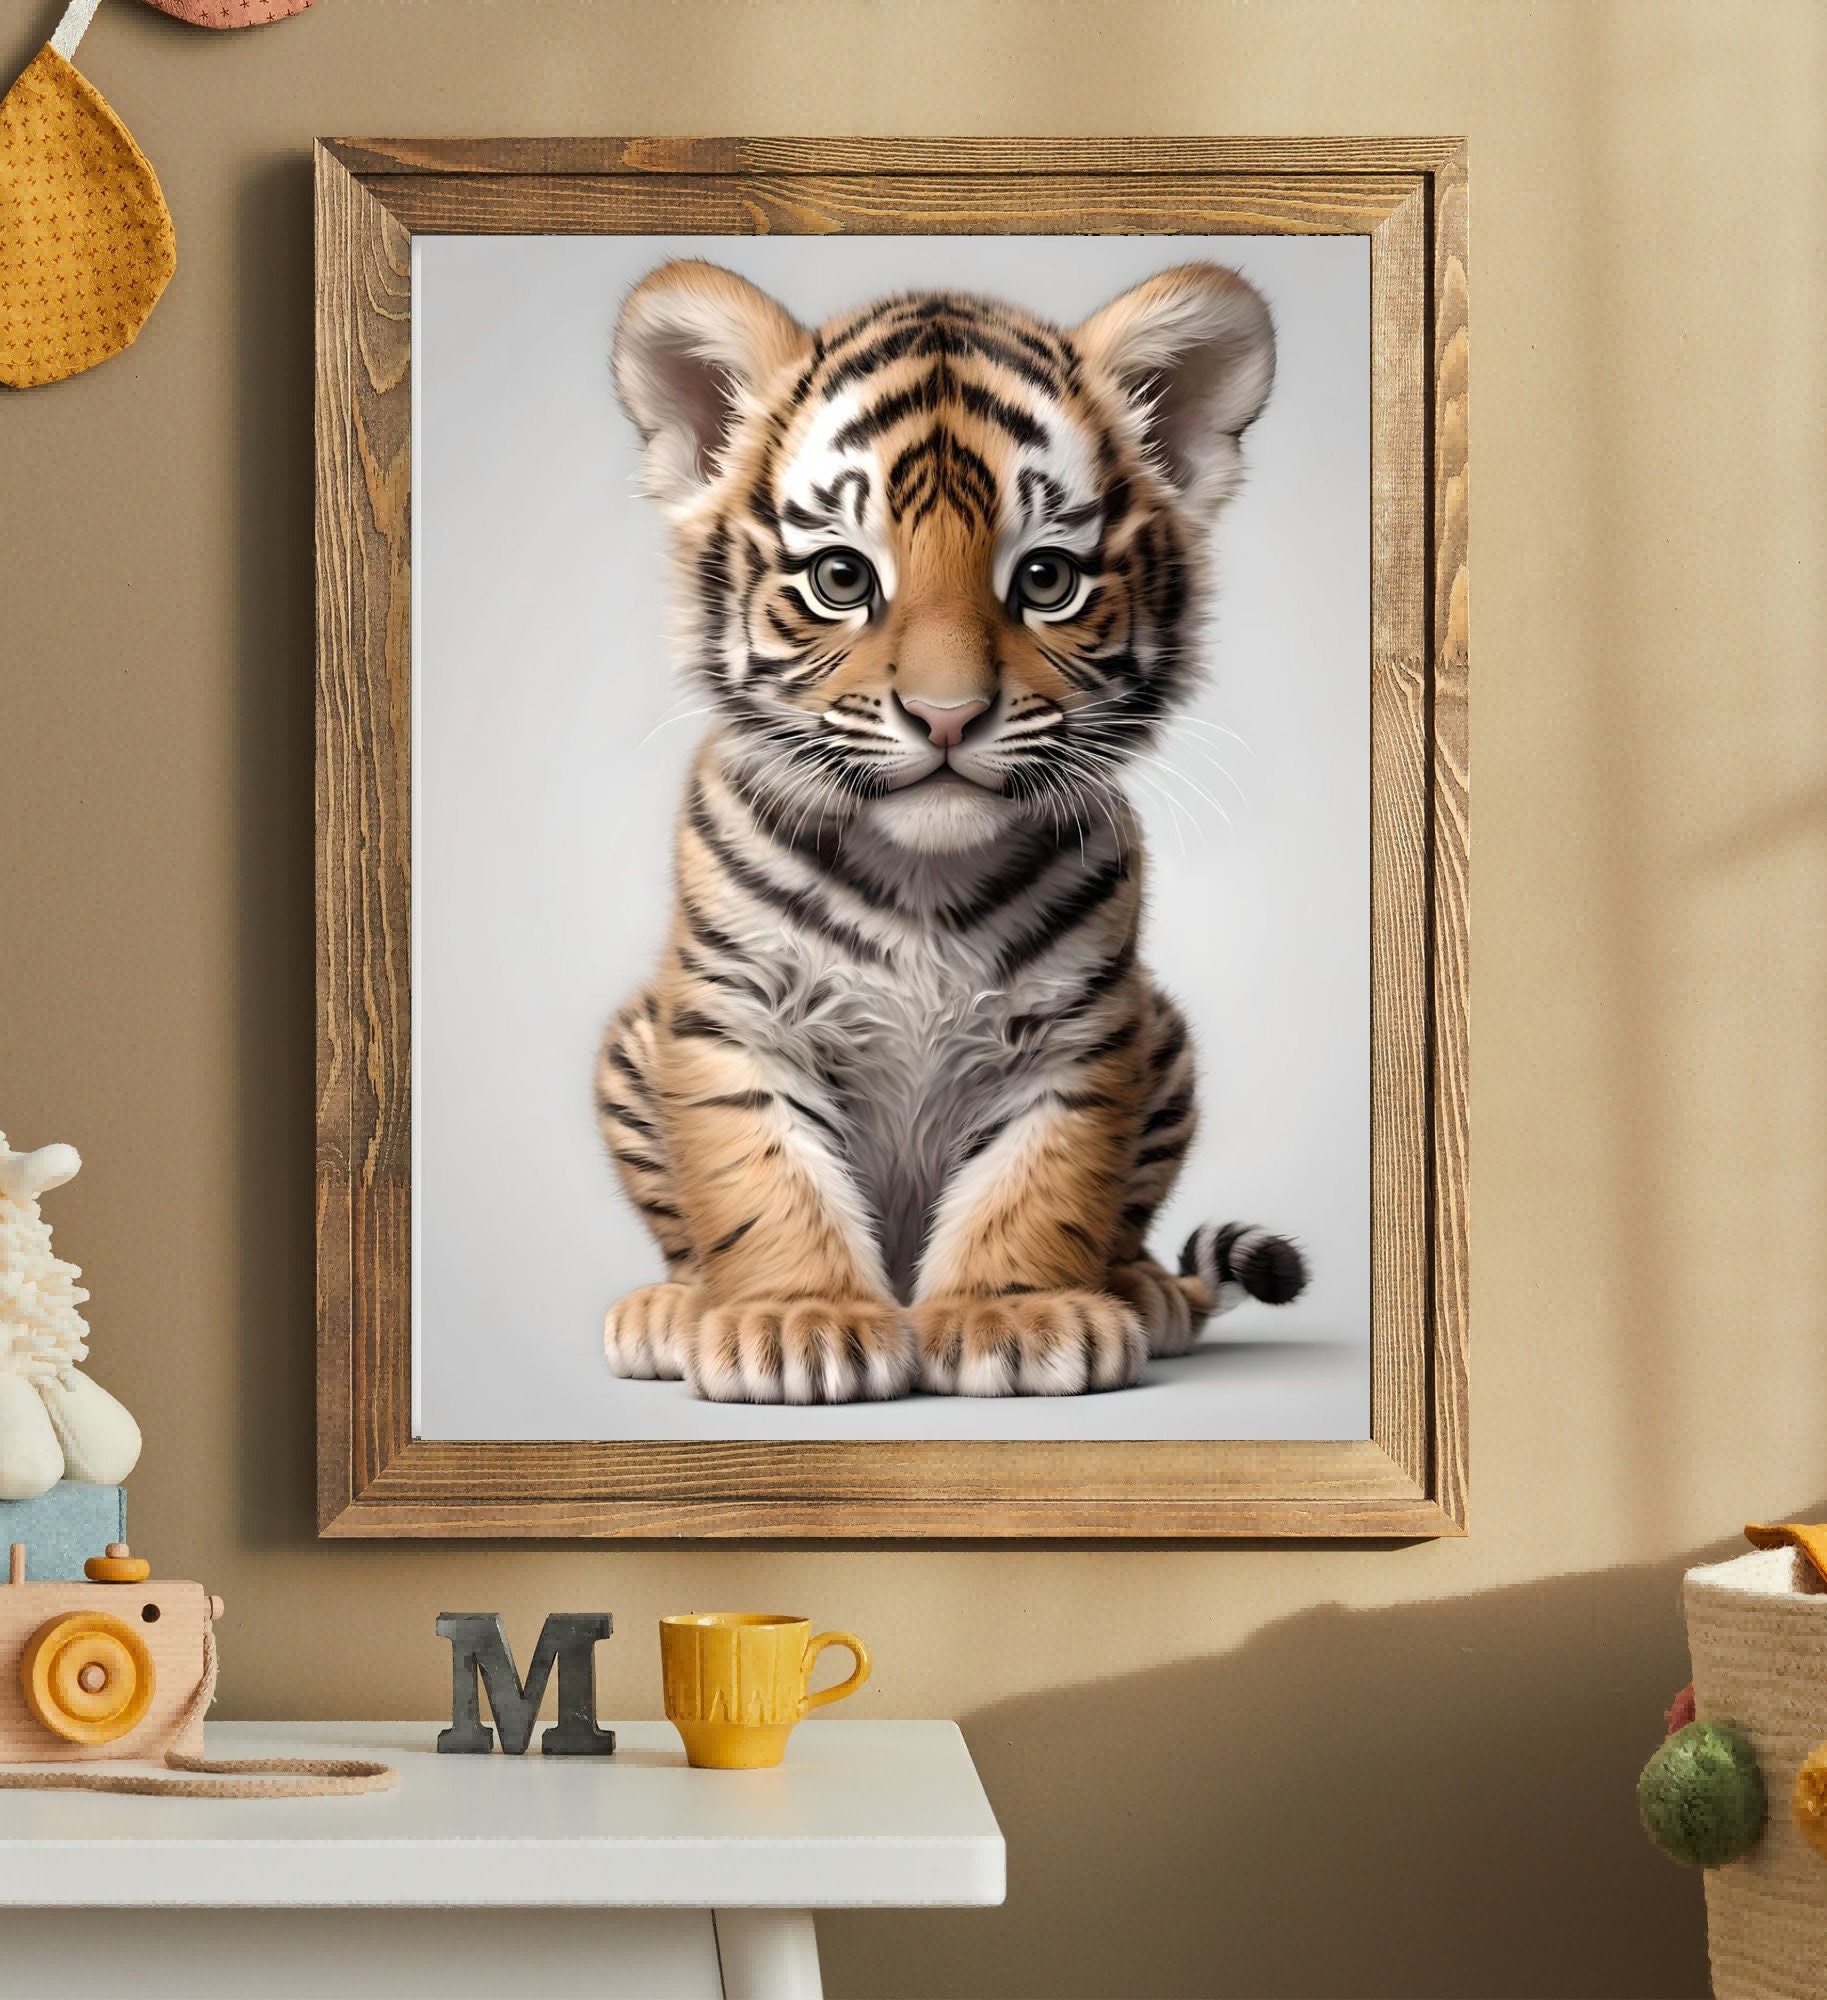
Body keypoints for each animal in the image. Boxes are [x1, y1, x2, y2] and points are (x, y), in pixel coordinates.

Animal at [593, 257, 1309, 1404]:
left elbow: (1039, 1183)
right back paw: (672, 1308)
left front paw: (1014, 1319)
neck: (920, 874)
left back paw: (1142, 1293)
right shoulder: (733, 1015)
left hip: (1164, 1034)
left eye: (1046, 579)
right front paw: (797, 1322)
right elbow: (762, 1176)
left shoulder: (1079, 1030)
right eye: (840, 578)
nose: (945, 716)